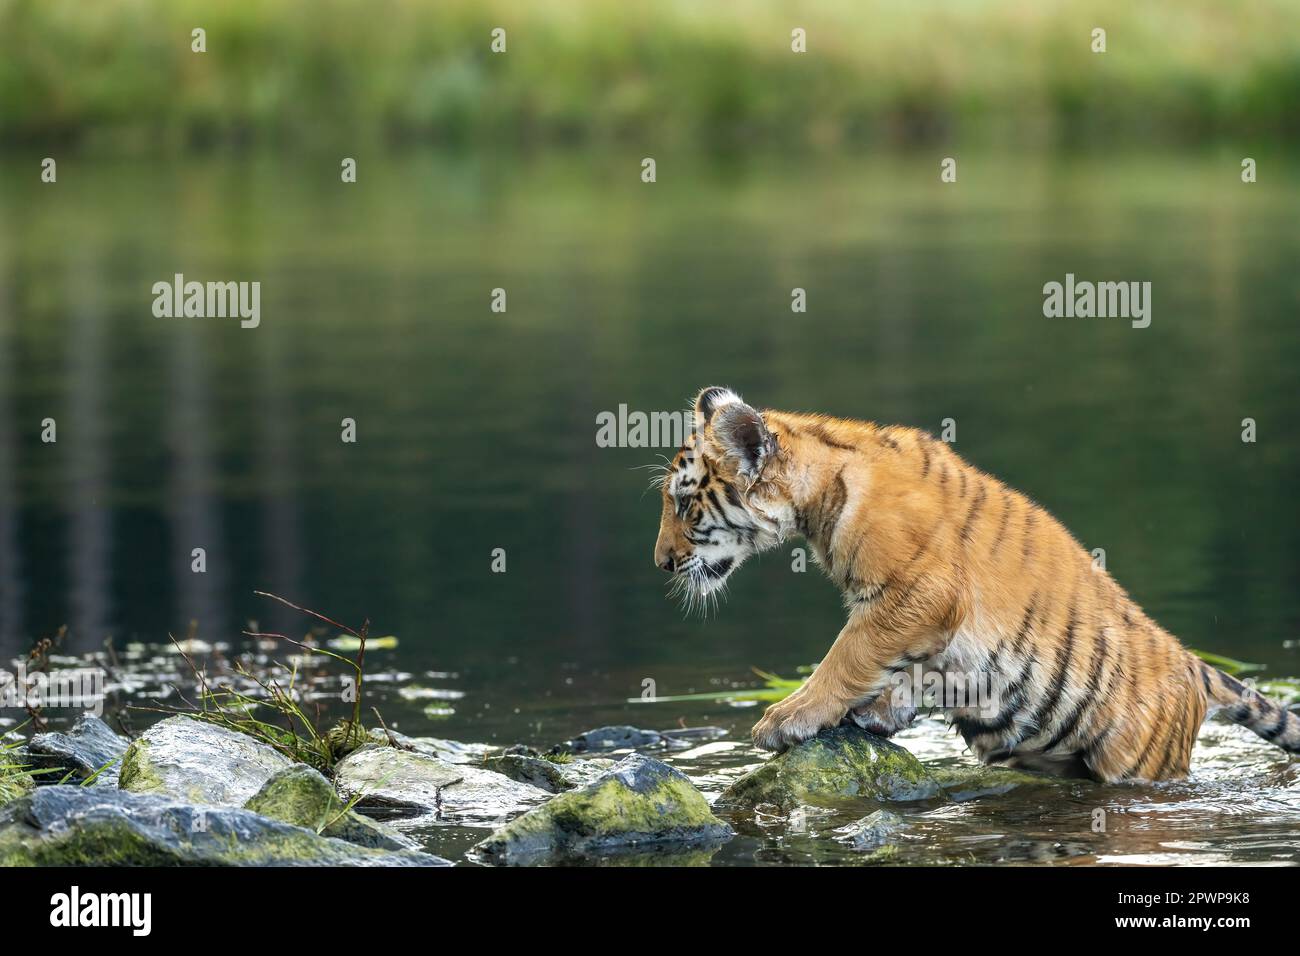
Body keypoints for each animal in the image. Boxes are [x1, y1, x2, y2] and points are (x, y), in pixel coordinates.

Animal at [652, 386, 1300, 782]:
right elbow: (901, 668)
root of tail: (1193, 663)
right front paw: (879, 713)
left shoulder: (918, 594)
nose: (661, 562)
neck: (817, 499)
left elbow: (846, 655)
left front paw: (785, 719)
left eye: (684, 504)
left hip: (1137, 763)